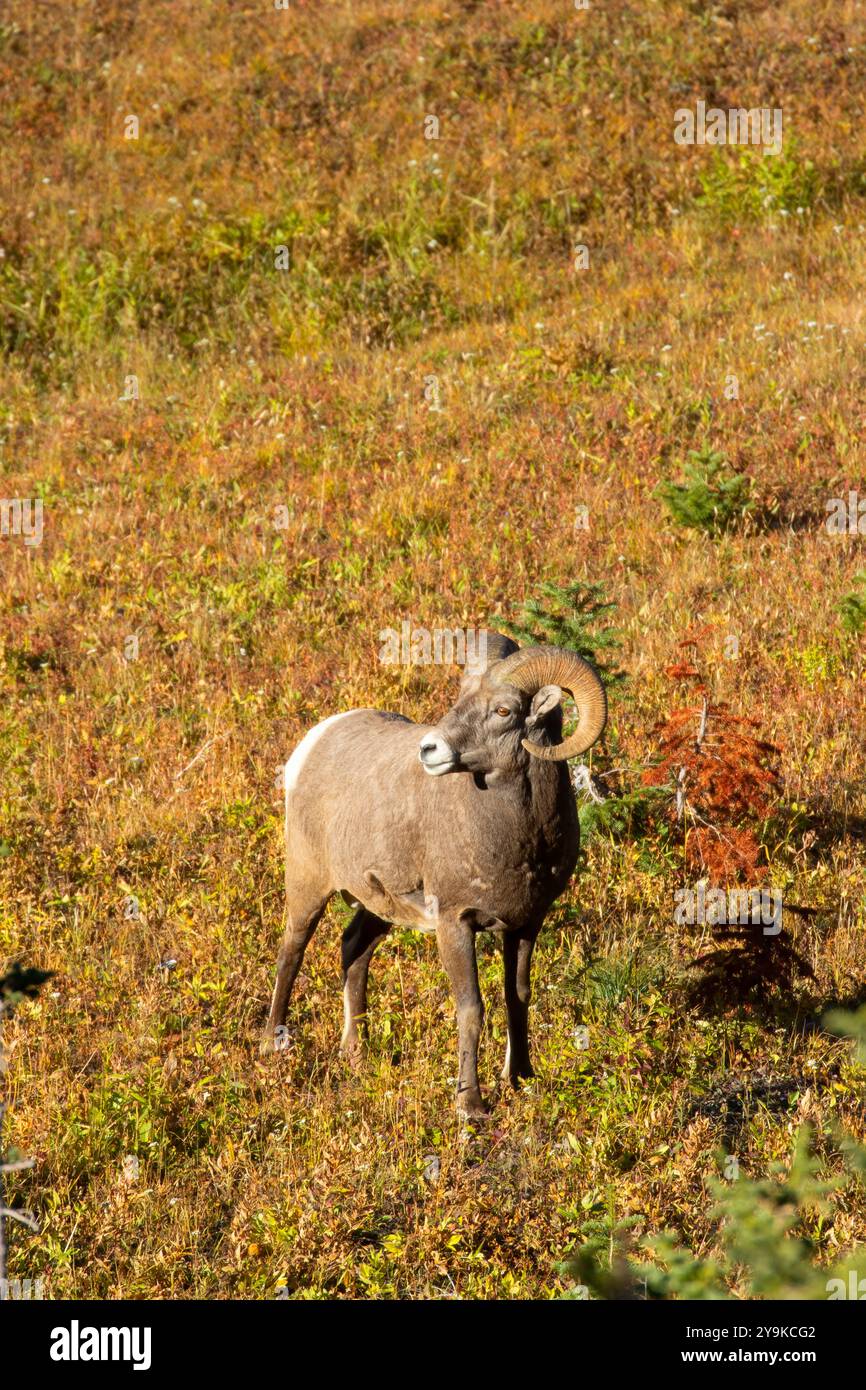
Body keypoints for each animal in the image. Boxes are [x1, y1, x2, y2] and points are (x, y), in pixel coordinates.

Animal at [261, 632, 607, 1117]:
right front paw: (471, 1105)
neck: (521, 840)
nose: (430, 750)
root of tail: (313, 742)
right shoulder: (454, 923)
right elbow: (471, 1009)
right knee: (290, 952)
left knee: (353, 949)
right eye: (461, 698)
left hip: (378, 906)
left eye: (504, 710)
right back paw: (273, 1047)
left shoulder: (526, 924)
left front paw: (521, 1078)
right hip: (308, 885)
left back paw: (356, 1053)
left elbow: (517, 996)